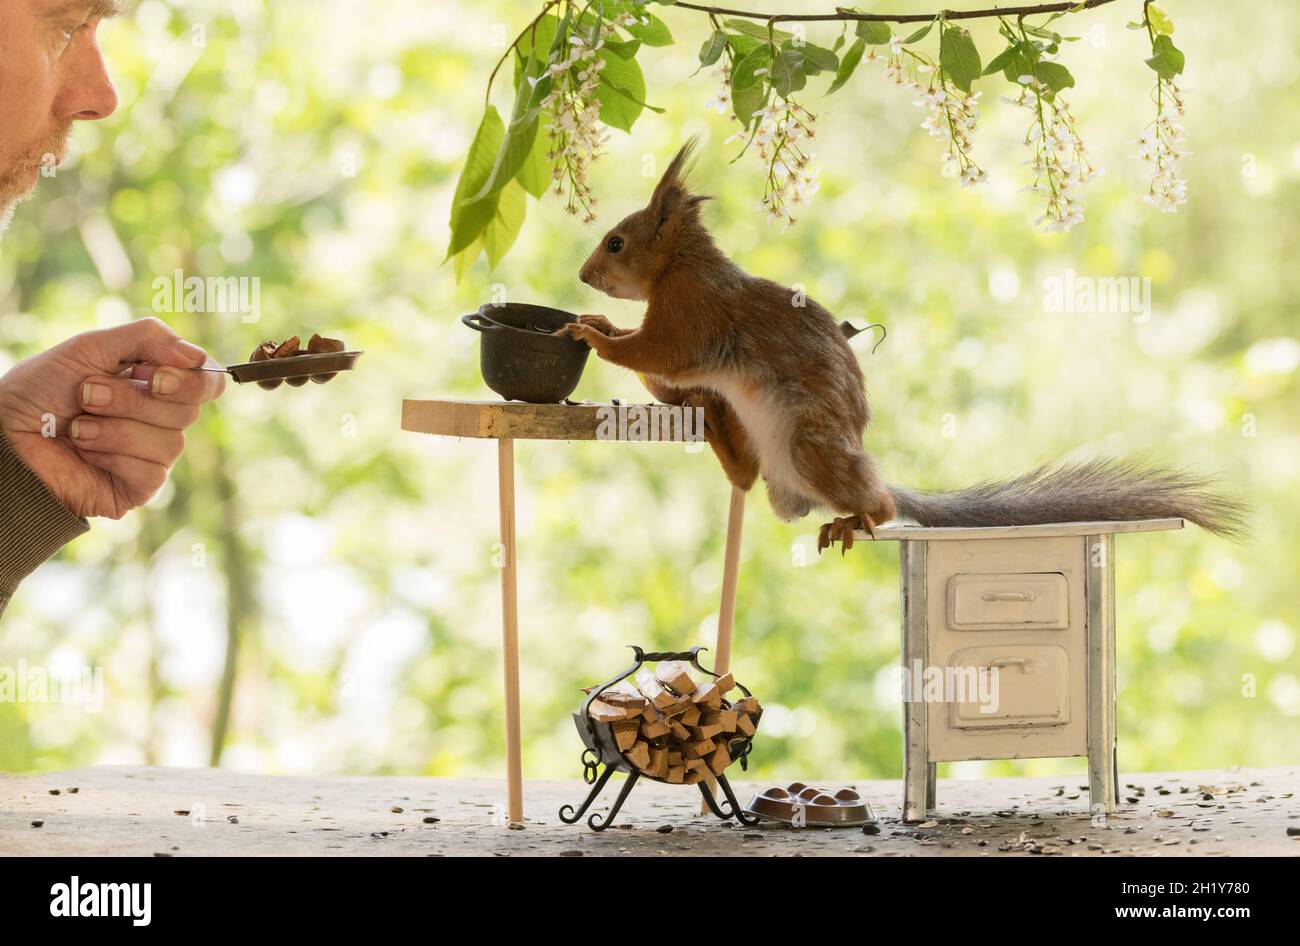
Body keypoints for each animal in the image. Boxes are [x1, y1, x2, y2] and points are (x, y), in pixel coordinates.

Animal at [556, 140, 1245, 550]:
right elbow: (649, 356)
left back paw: (856, 519)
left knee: (881, 506)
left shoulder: (691, 316)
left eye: (617, 242)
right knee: (745, 475)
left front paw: (592, 334)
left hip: (813, 447)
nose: (584, 276)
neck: (680, 265)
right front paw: (600, 320)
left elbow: (654, 354)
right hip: (773, 464)